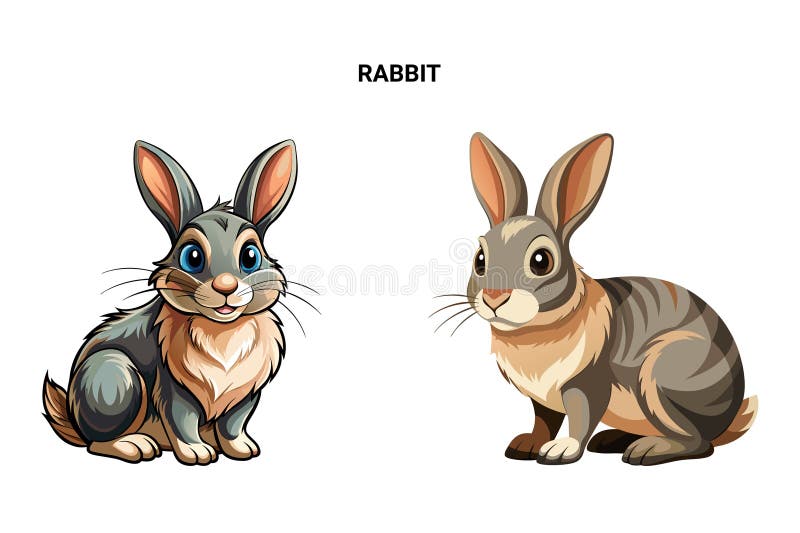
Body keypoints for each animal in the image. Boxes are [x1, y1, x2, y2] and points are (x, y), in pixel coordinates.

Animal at [43, 139, 299, 464]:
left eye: (251, 256)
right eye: (192, 256)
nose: (225, 286)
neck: (221, 329)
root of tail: (74, 419)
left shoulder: (244, 396)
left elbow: (233, 425)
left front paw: (244, 450)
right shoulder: (174, 391)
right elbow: (182, 420)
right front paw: (197, 453)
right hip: (118, 377)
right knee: (97, 443)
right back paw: (135, 445)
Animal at [457, 132, 757, 465]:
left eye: (541, 261)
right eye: (480, 259)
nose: (495, 298)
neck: (538, 329)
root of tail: (730, 416)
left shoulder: (587, 384)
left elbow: (582, 417)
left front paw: (561, 450)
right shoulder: (543, 401)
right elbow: (544, 420)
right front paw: (527, 444)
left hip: (661, 375)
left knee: (699, 443)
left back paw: (646, 449)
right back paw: (612, 440)